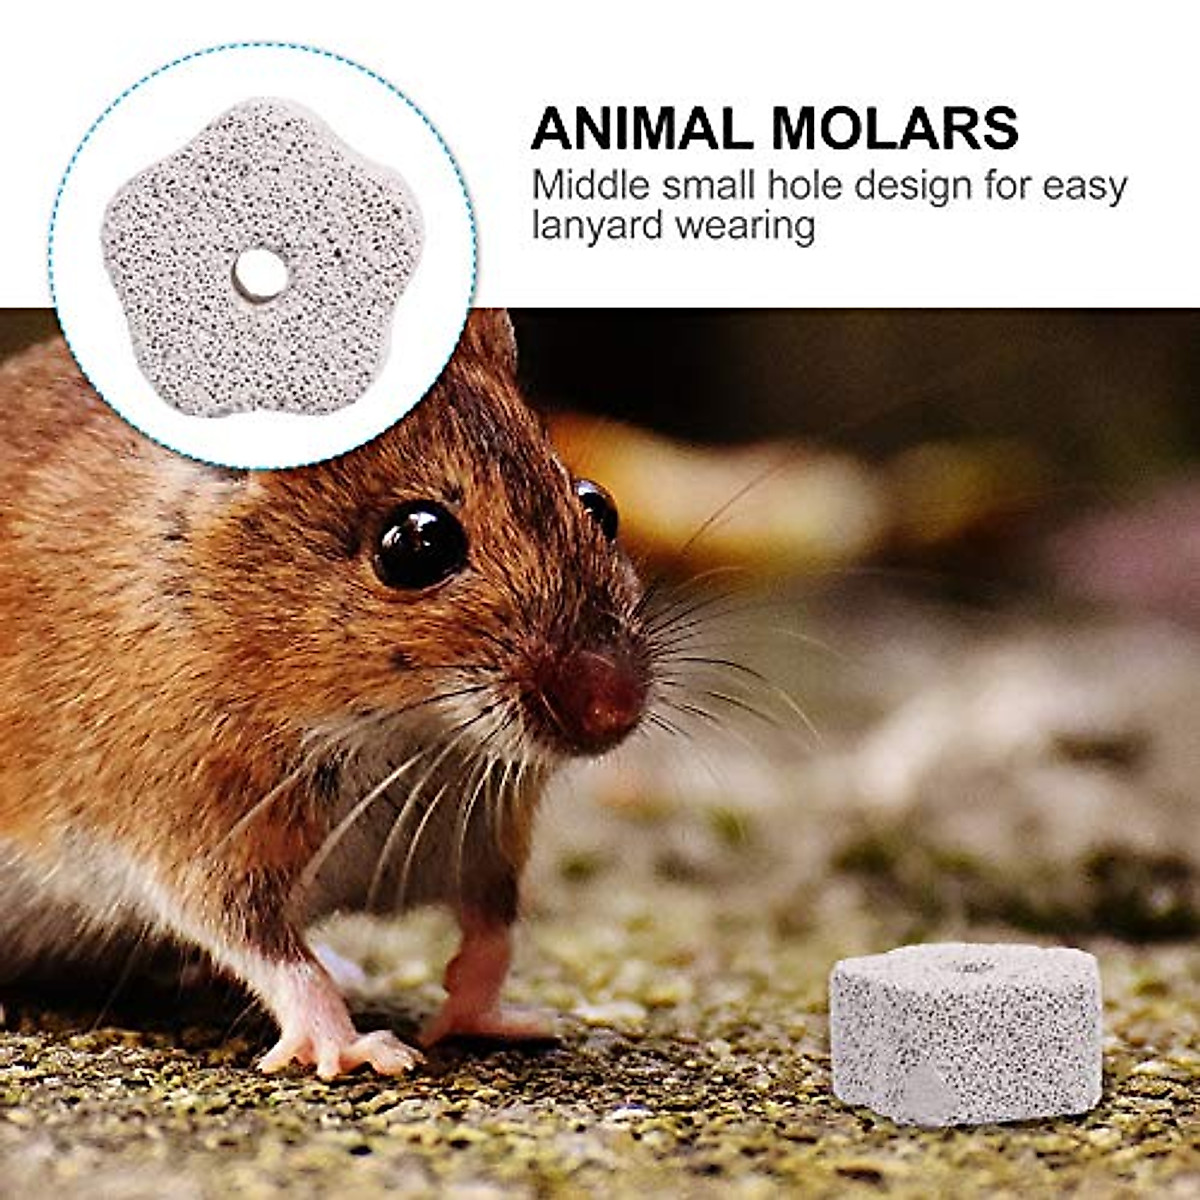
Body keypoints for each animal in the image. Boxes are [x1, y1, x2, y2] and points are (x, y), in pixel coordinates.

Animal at [0, 310, 652, 1077]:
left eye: (598, 504)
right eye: (416, 544)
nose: (615, 709)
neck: (399, 737)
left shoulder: (484, 843)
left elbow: (492, 940)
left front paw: (494, 1020)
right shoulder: (200, 842)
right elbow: (278, 960)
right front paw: (356, 1049)